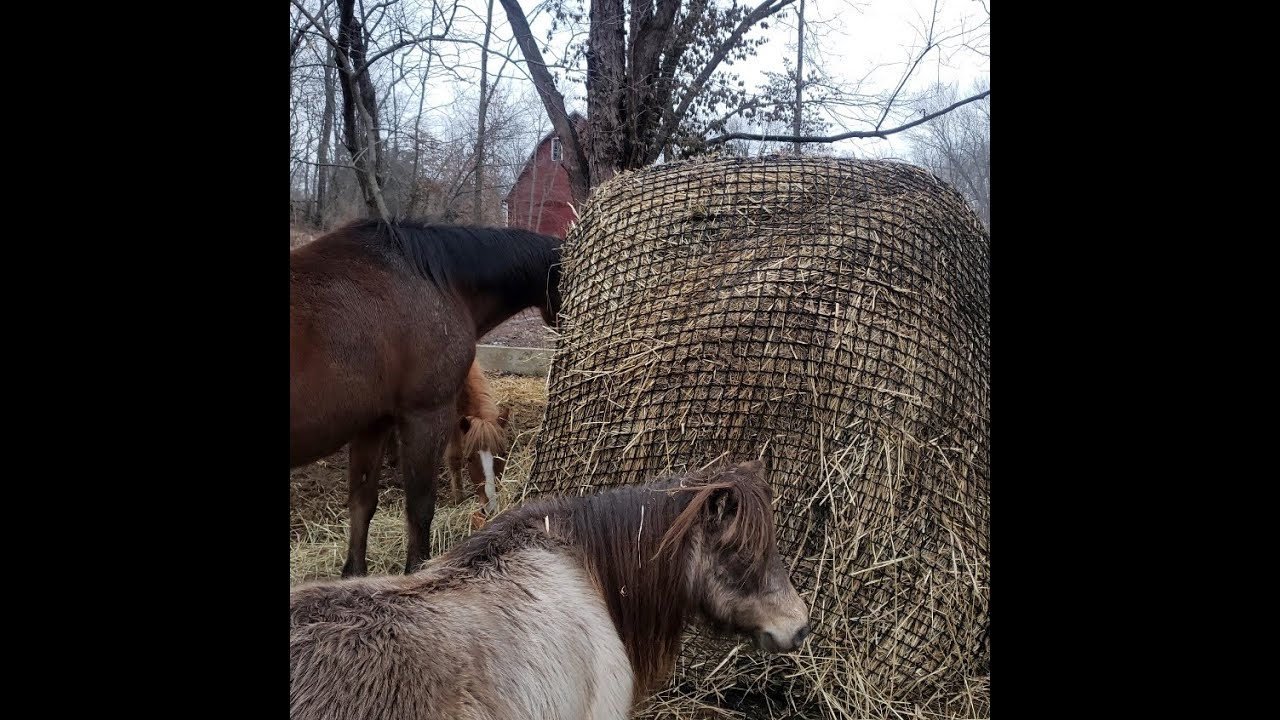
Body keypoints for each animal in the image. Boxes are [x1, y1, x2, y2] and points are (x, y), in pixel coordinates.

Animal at [290, 219, 561, 577]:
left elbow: (362, 504)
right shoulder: (426, 416)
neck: (435, 280)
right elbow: (420, 508)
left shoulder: (374, 424)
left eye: (503, 456)